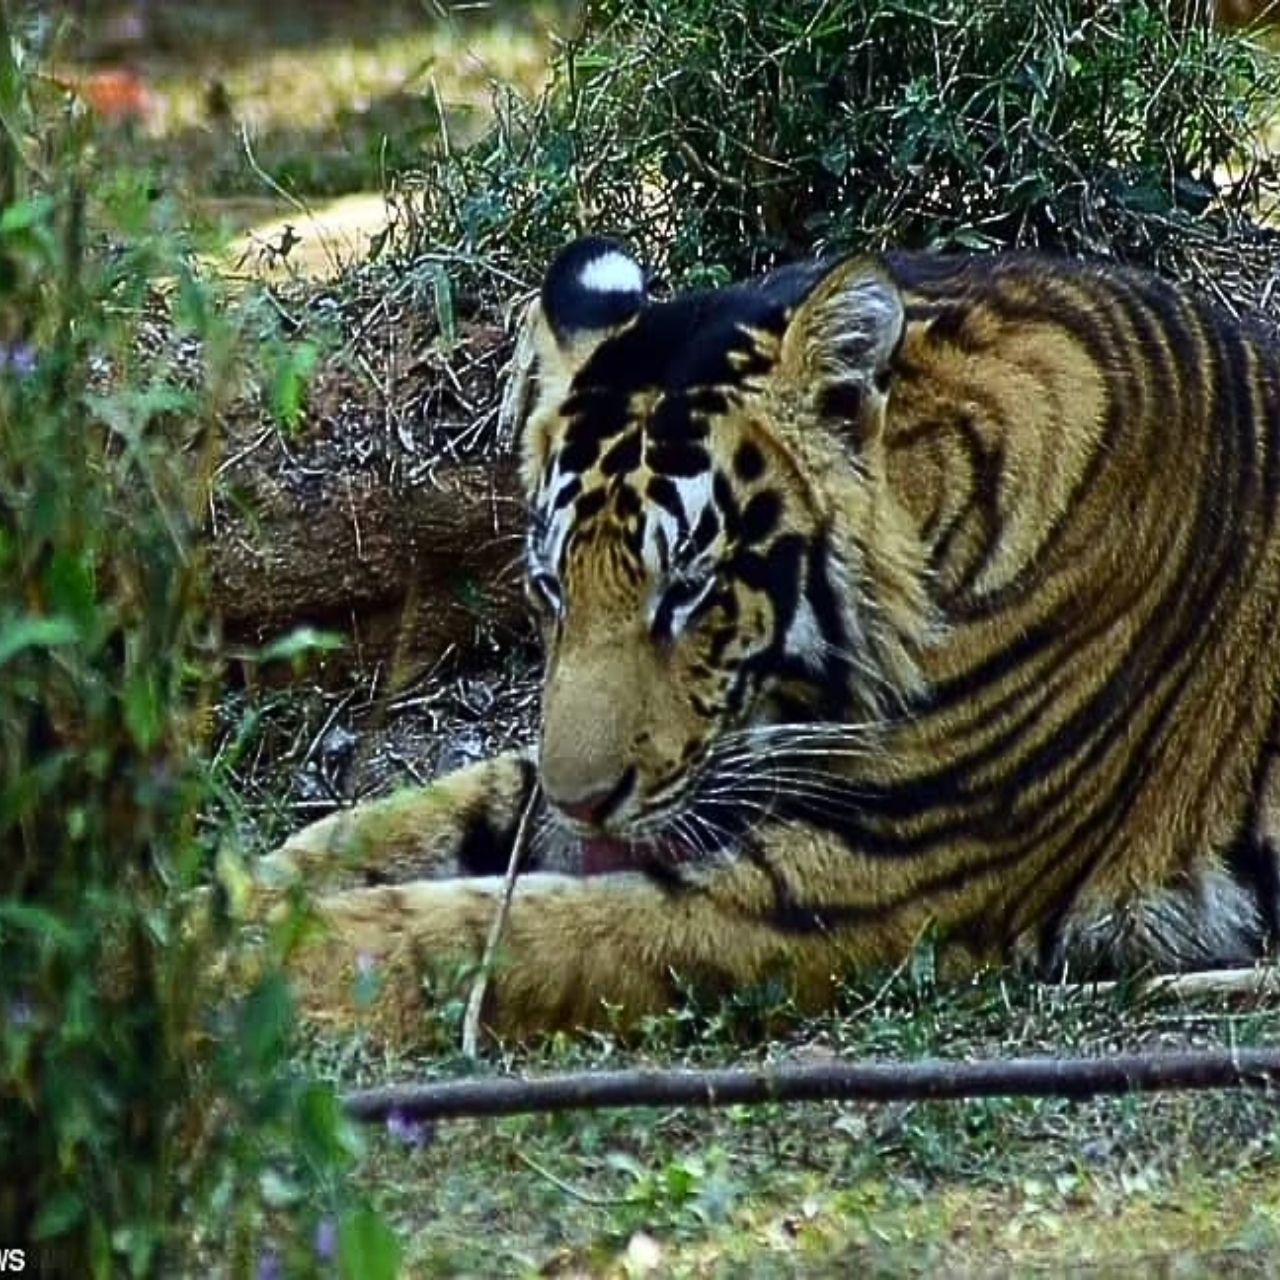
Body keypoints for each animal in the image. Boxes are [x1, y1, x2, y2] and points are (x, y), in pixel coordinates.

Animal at [258, 235, 1280, 1045]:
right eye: (553, 588)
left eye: (686, 591)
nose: (587, 808)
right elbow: (401, 820)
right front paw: (236, 894)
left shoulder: (848, 876)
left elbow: (472, 935)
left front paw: (242, 970)